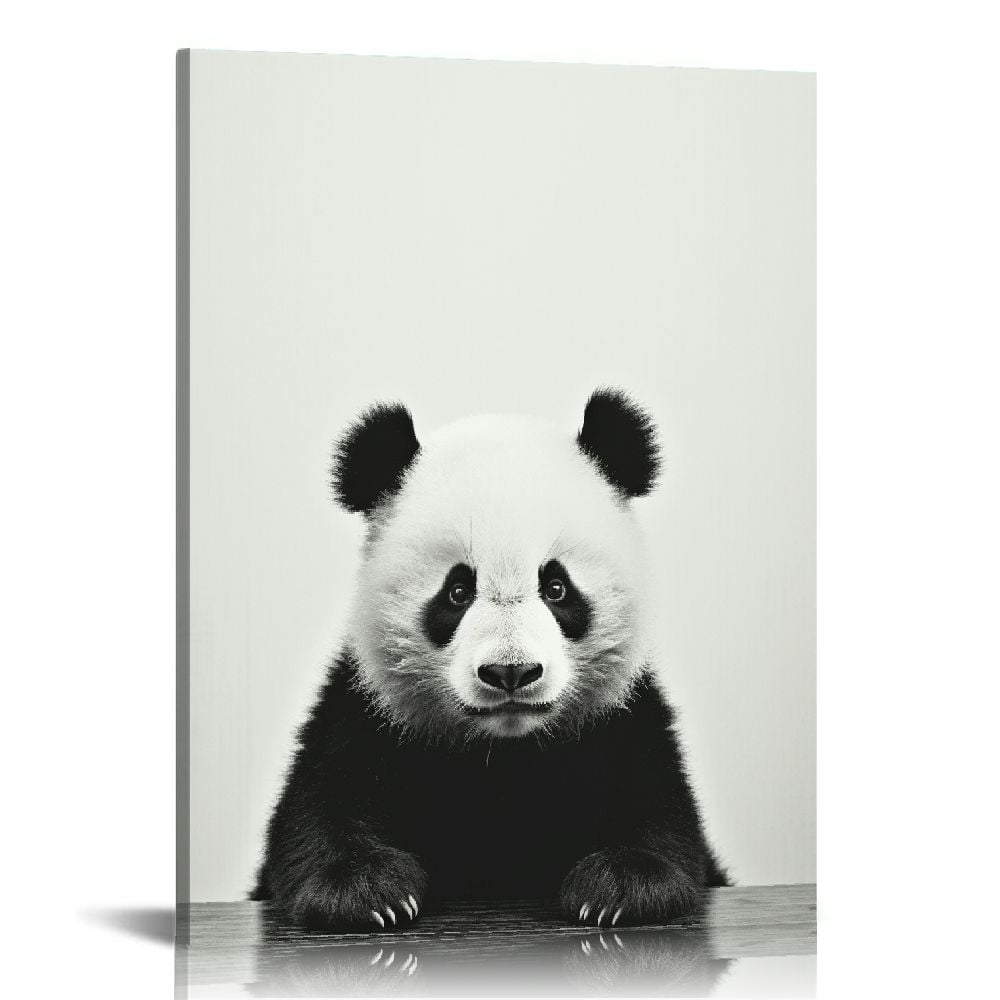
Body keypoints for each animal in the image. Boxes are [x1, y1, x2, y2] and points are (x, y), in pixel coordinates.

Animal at [252, 388, 729, 930]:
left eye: (556, 587)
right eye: (457, 591)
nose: (510, 672)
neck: (501, 753)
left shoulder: (619, 720)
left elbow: (660, 808)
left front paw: (623, 885)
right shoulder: (367, 712)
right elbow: (318, 804)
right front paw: (363, 889)